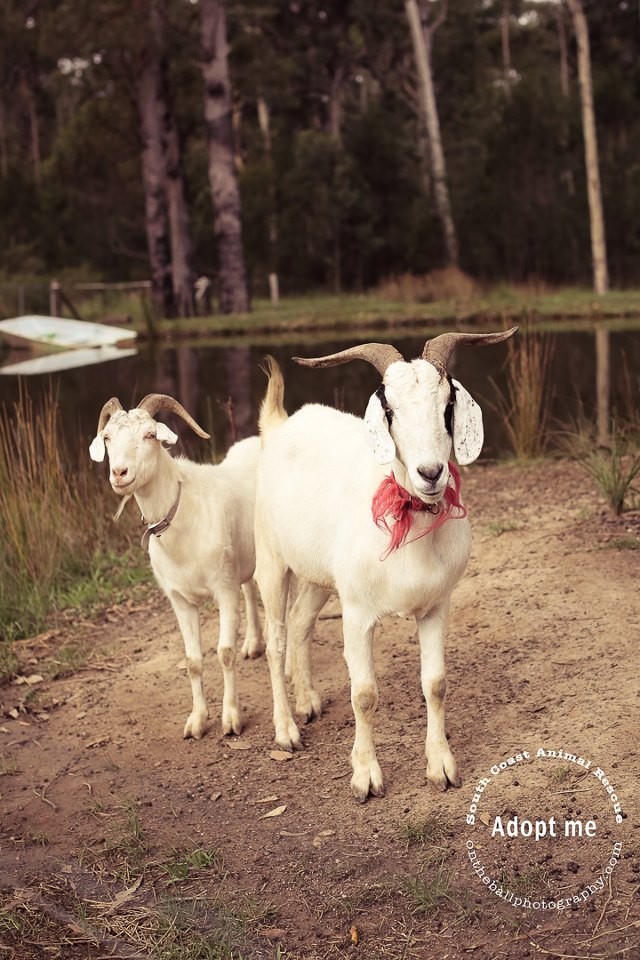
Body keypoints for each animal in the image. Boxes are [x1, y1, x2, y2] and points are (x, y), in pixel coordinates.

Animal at [89, 394, 264, 740]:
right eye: (108, 437)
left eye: (149, 435)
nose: (119, 473)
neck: (182, 513)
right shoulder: (180, 600)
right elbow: (193, 660)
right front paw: (197, 721)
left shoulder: (223, 590)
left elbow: (224, 652)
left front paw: (231, 718)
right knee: (250, 590)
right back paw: (253, 644)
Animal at [254, 328, 517, 801]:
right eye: (389, 409)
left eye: (448, 405)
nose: (430, 473)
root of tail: (280, 426)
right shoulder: (358, 613)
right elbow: (364, 694)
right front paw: (365, 777)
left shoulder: (436, 607)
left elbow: (435, 683)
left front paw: (441, 766)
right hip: (270, 558)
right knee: (276, 640)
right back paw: (286, 731)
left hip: (319, 575)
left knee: (301, 621)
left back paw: (308, 700)